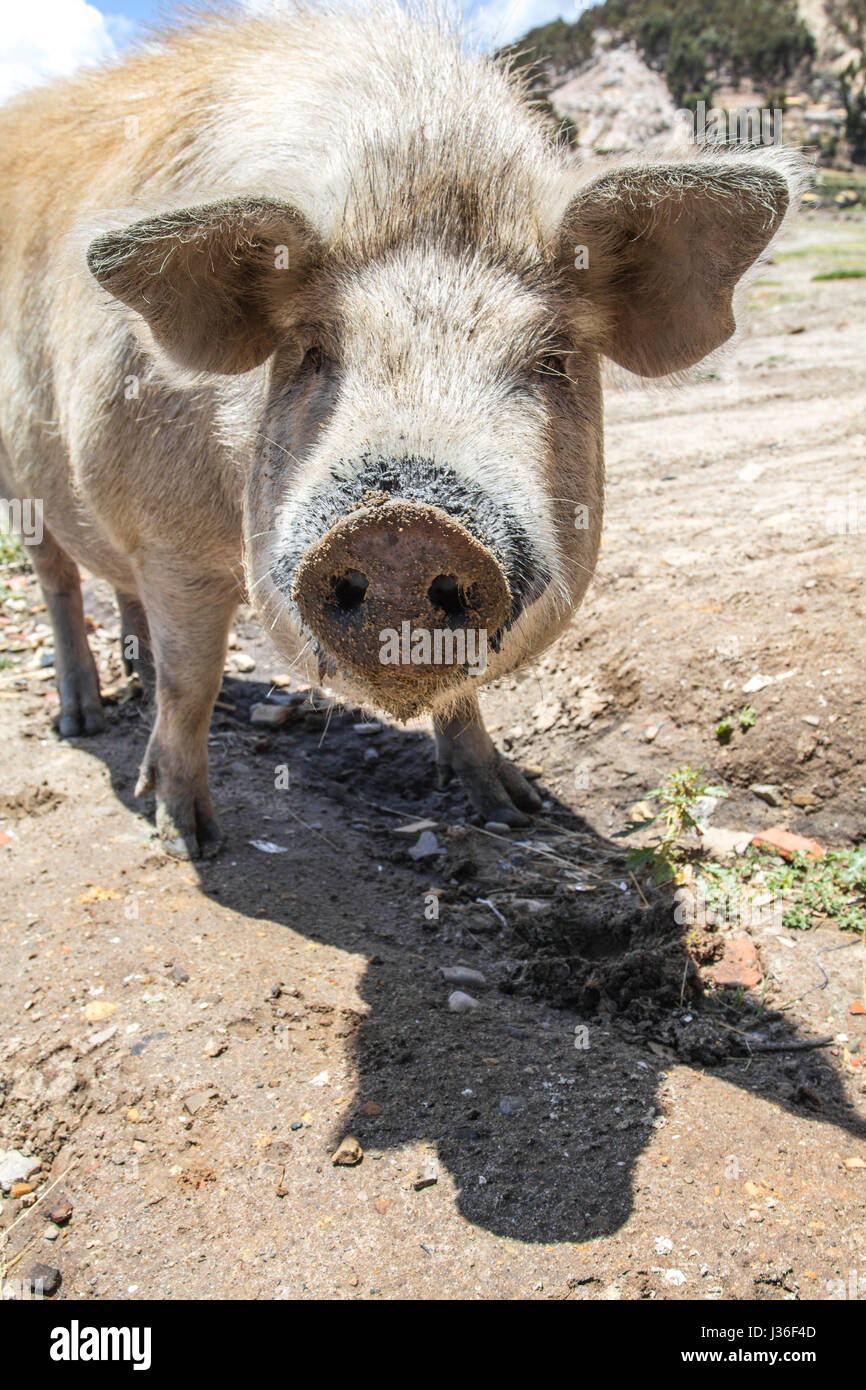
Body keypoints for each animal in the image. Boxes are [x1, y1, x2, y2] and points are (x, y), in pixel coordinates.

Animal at [0, 2, 801, 857]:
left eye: (552, 361)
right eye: (314, 352)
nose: (404, 526)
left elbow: (460, 698)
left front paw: (513, 807)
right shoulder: (169, 536)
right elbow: (194, 682)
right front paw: (186, 839)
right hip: (21, 486)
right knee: (58, 581)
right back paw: (81, 720)